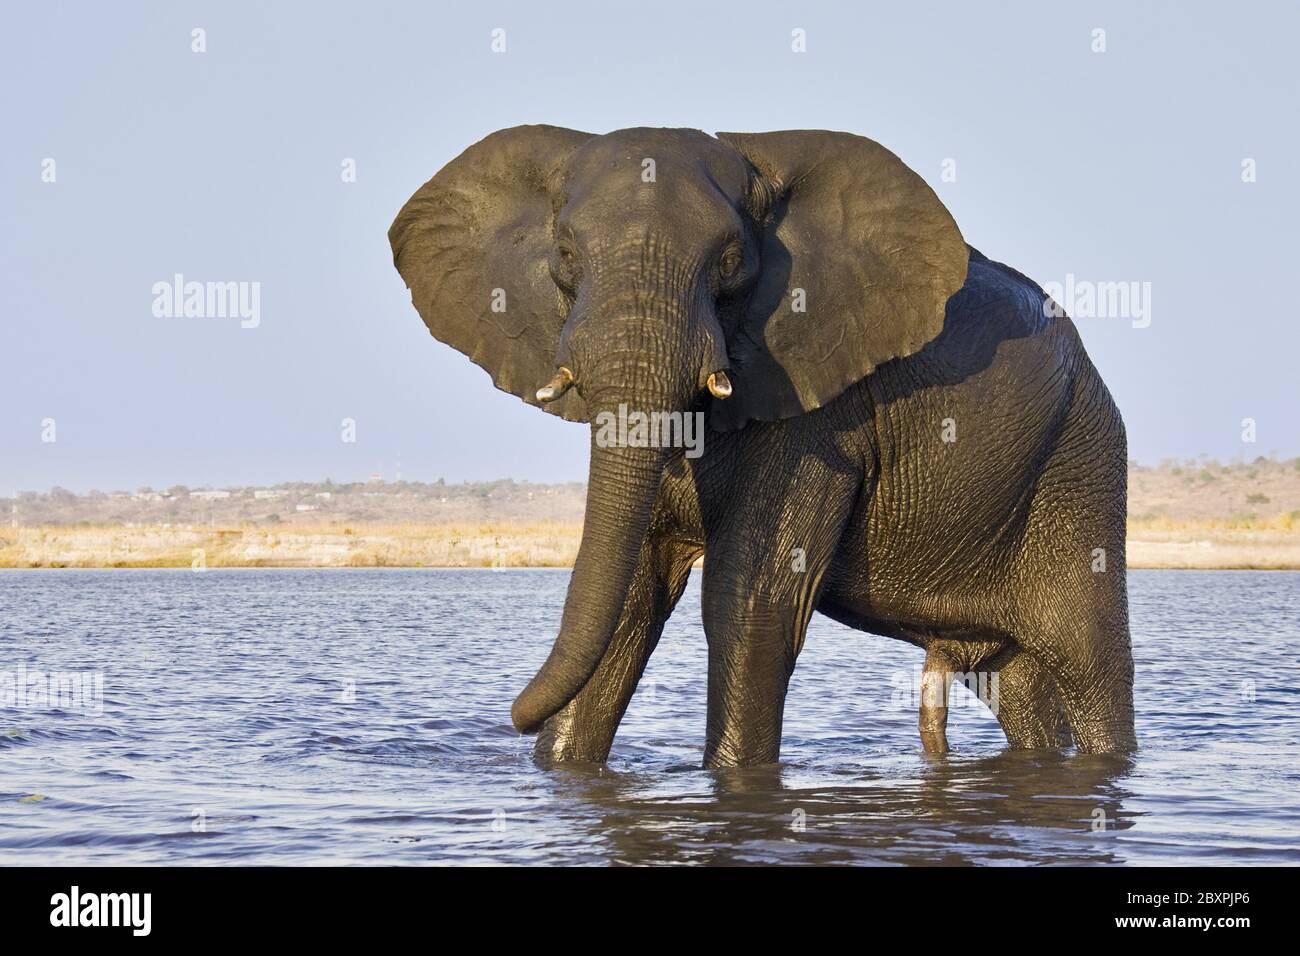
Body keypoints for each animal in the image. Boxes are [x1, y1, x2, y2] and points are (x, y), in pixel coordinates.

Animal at [389, 126, 1137, 769]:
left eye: (728, 262)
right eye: (567, 257)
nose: (511, 718)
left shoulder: (817, 410)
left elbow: (748, 596)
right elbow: (628, 597)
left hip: (1083, 461)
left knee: (1091, 661)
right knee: (1018, 688)